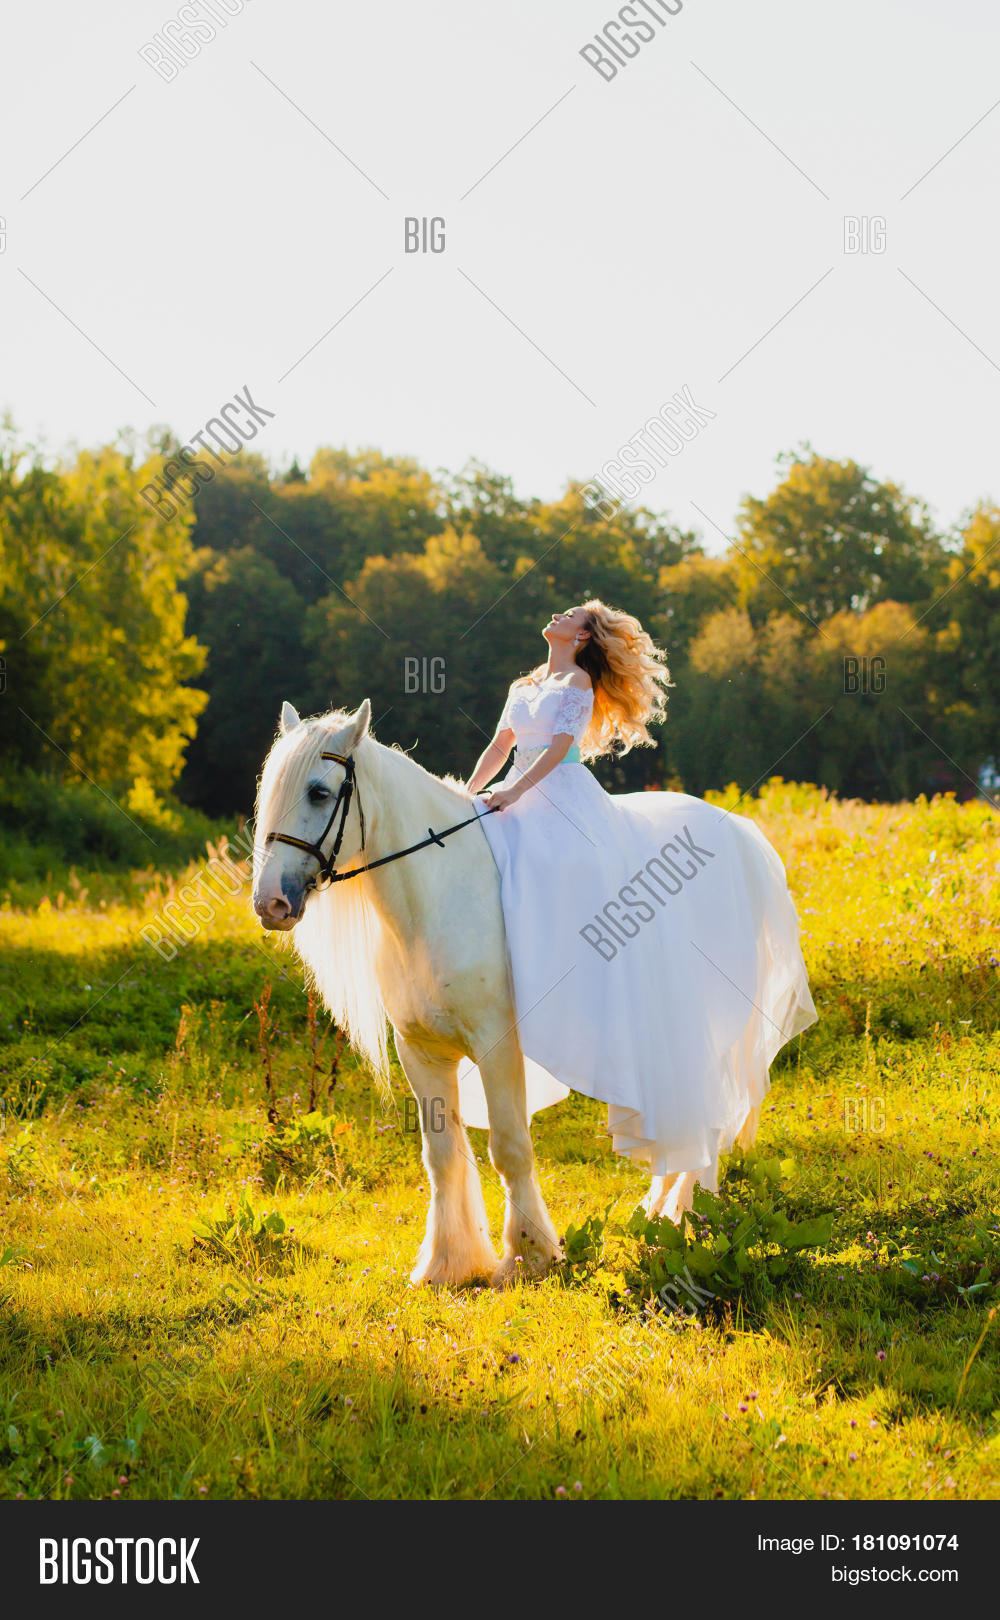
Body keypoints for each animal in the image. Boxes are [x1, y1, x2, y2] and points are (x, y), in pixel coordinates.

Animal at [252, 699, 765, 1288]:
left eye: (318, 791)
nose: (269, 903)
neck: (438, 895)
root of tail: (737, 834)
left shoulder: (497, 1047)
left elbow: (509, 1149)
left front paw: (528, 1257)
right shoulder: (420, 1051)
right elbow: (441, 1154)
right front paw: (446, 1263)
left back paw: (688, 1216)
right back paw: (663, 1212)